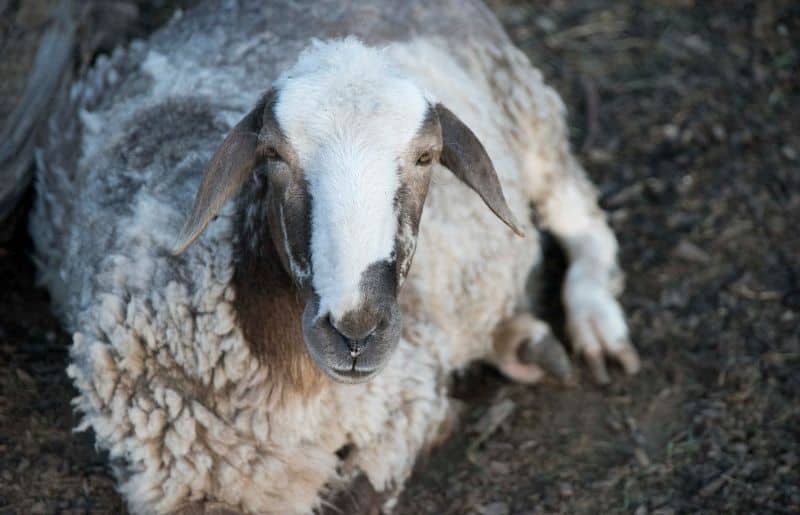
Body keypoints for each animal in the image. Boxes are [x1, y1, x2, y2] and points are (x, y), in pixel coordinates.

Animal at [30, 0, 641, 513]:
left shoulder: (403, 405)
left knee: (582, 218)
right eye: (274, 155)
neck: (293, 386)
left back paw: (595, 328)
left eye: (427, 157)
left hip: (531, 115)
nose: (355, 331)